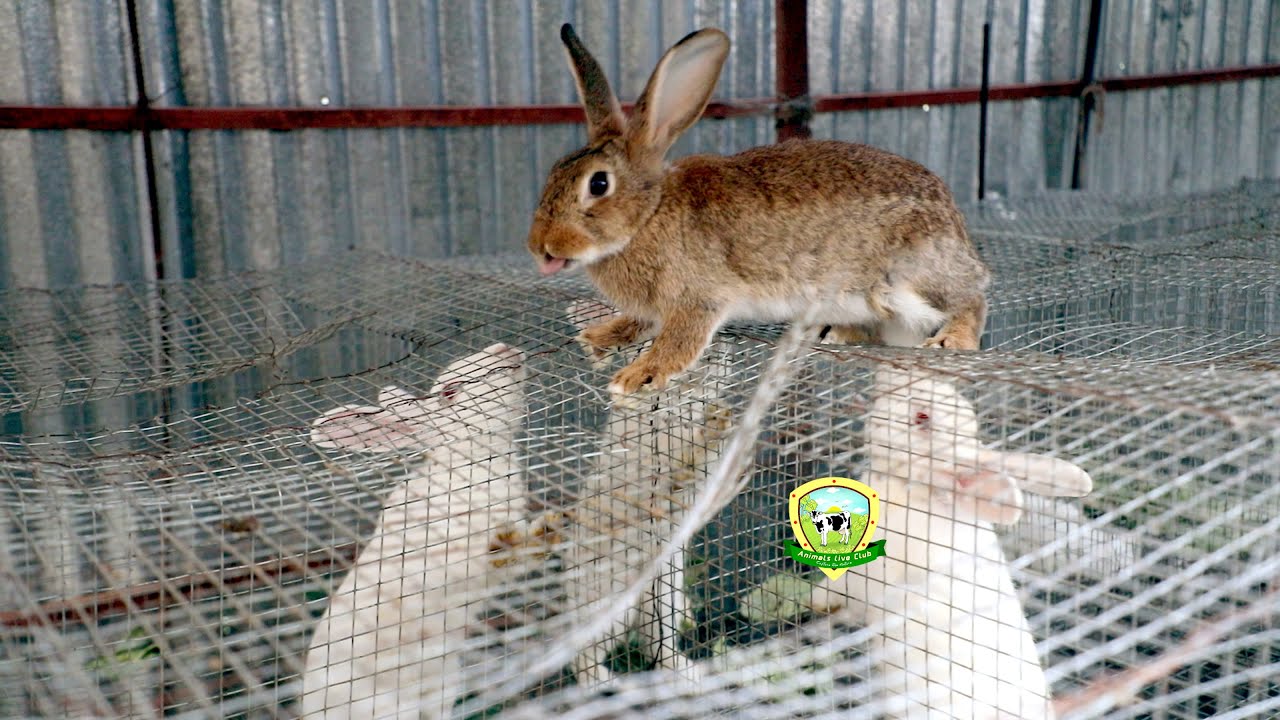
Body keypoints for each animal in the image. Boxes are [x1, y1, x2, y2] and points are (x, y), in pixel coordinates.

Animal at [527, 24, 990, 395]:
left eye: (598, 184)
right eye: (553, 173)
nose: (539, 246)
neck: (649, 215)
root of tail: (958, 228)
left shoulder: (698, 299)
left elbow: (678, 341)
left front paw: (638, 375)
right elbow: (639, 323)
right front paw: (599, 336)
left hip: (909, 278)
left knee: (971, 297)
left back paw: (952, 340)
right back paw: (836, 331)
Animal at [560, 300, 731, 687]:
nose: (719, 346)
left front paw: (723, 420)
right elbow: (685, 458)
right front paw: (713, 422)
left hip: (662, 597)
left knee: (659, 648)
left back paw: (691, 668)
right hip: (607, 603)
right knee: (585, 659)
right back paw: (606, 683)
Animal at [807, 369, 1092, 719]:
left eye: (922, 417)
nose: (893, 371)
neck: (915, 493)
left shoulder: (867, 577)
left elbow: (839, 589)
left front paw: (814, 601)